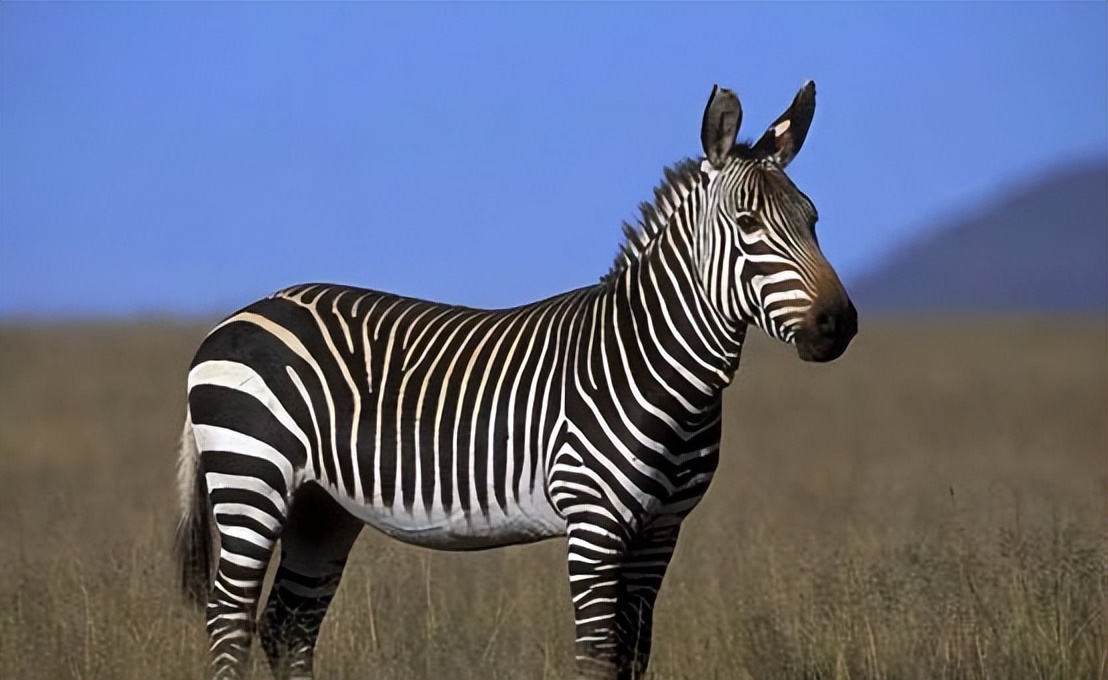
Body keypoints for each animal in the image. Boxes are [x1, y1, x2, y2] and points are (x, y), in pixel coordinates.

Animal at [175, 81, 857, 680]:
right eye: (747, 224)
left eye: (814, 219)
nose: (839, 325)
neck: (660, 370)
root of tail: (243, 314)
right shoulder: (594, 524)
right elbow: (597, 658)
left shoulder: (661, 531)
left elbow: (635, 655)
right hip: (252, 479)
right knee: (229, 620)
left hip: (320, 505)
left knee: (288, 625)